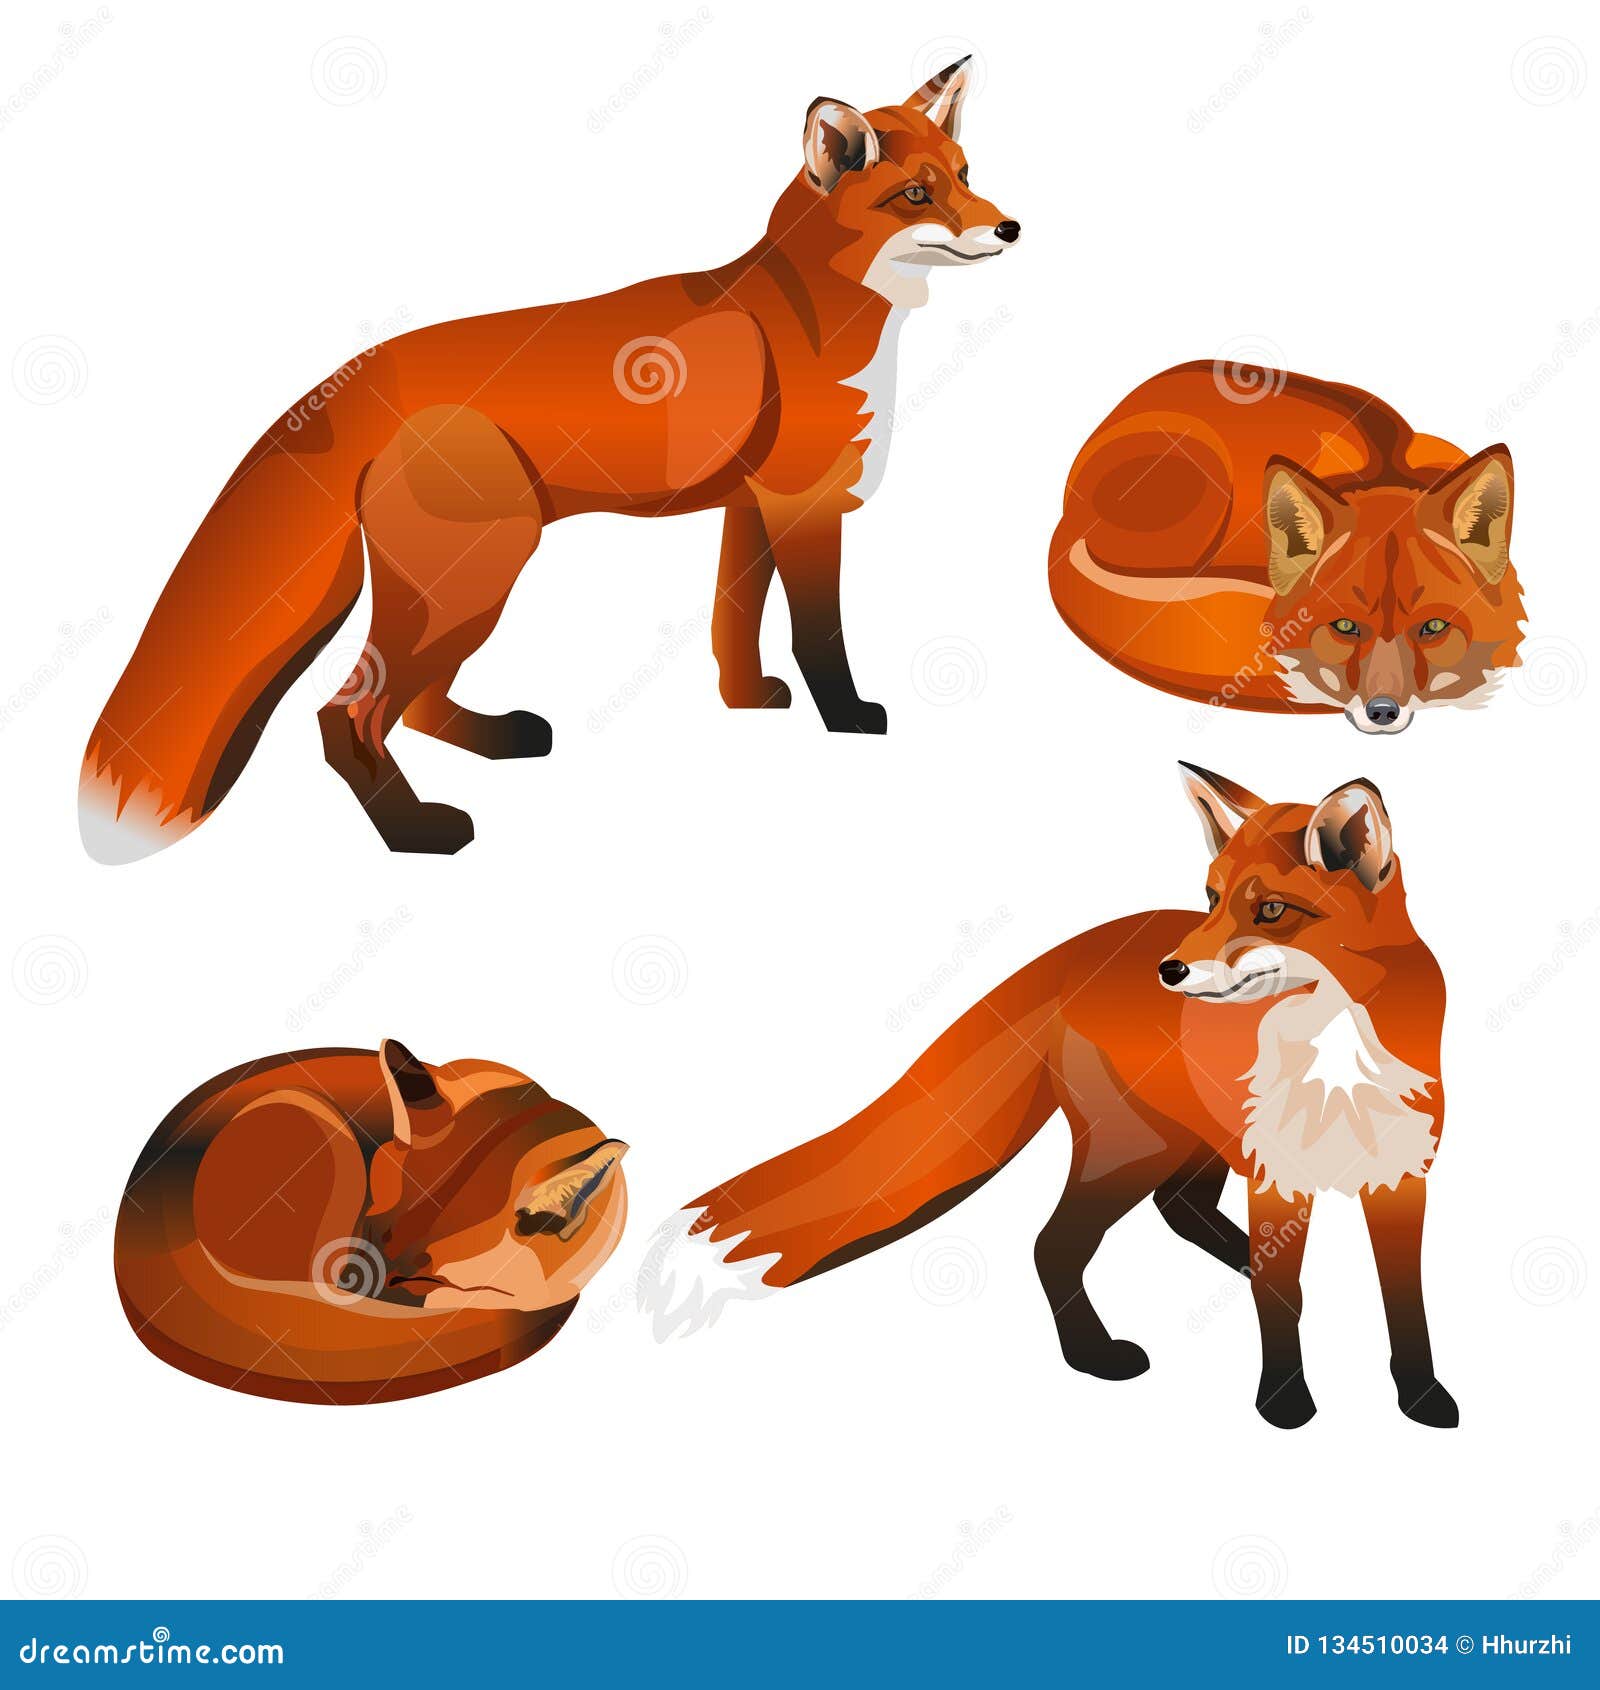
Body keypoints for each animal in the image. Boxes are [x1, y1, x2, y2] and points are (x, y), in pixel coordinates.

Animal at [79, 58, 1018, 862]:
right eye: (916, 195)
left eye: (968, 172)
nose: (1011, 226)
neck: (817, 311)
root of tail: (358, 372)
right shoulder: (804, 502)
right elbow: (819, 633)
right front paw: (847, 717)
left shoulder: (749, 504)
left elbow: (734, 620)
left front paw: (747, 700)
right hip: (475, 574)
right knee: (349, 715)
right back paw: (416, 833)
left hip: (462, 581)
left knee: (412, 704)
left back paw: (493, 741)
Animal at [641, 763, 1457, 1429]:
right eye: (1211, 899)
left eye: (1272, 912)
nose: (1171, 971)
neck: (1337, 1066)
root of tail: (1075, 949)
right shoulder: (1278, 1177)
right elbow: (1283, 1303)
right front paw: (1284, 1402)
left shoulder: (1401, 1177)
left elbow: (1405, 1301)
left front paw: (1422, 1396)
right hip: (1137, 1147)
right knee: (1055, 1244)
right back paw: (1097, 1354)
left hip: (1188, 1137)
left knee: (1179, 1207)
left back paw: (1231, 1261)